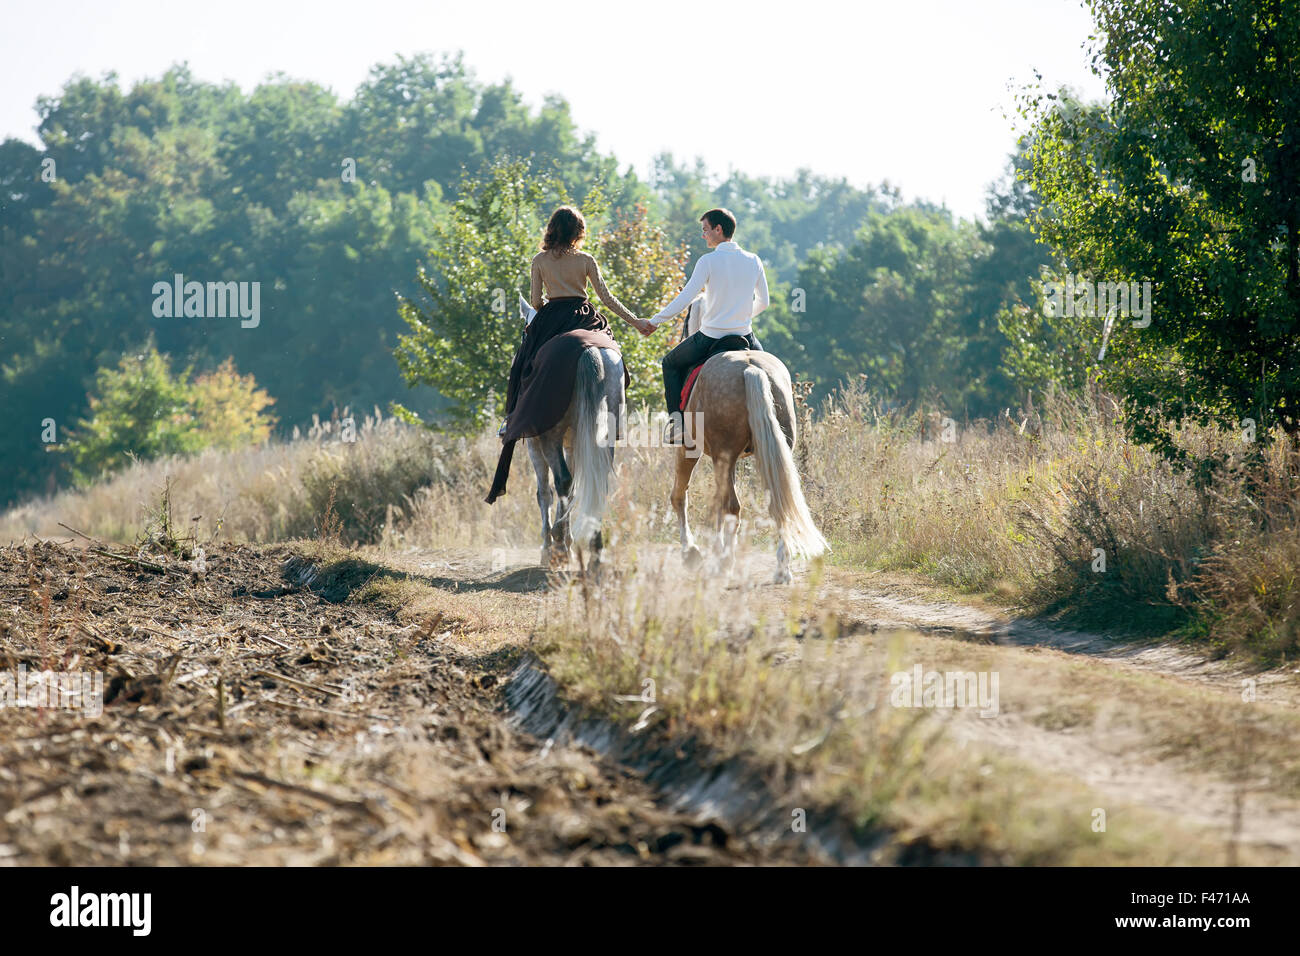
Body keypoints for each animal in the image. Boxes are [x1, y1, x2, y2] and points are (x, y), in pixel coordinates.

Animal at [517, 295, 625, 567]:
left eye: (525, 333)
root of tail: (590, 352)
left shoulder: (535, 444)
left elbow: (544, 492)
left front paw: (550, 547)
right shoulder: (574, 443)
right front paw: (565, 540)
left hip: (550, 438)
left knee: (561, 482)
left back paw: (560, 547)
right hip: (603, 437)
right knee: (598, 480)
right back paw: (595, 552)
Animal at [670, 299, 828, 583]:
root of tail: (751, 369)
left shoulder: (691, 450)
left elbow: (681, 496)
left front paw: (693, 553)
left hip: (719, 455)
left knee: (731, 505)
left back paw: (725, 564)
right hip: (771, 453)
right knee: (776, 502)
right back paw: (781, 569)